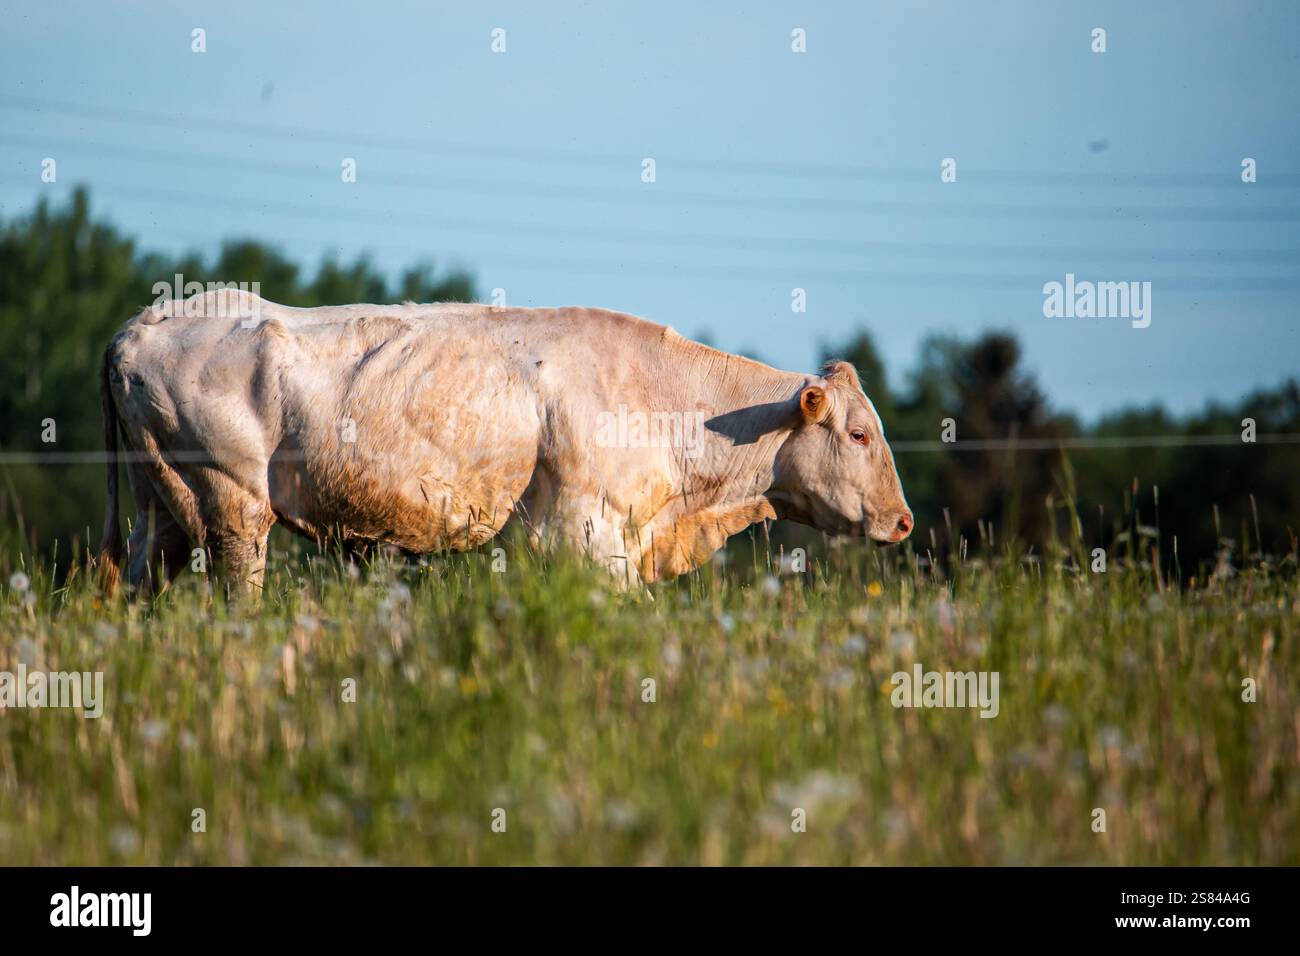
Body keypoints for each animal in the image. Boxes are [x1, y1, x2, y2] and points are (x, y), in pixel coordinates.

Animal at [97, 290, 912, 596]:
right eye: (859, 432)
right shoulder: (587, 530)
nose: (904, 520)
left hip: (160, 505)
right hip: (231, 505)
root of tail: (144, 320)